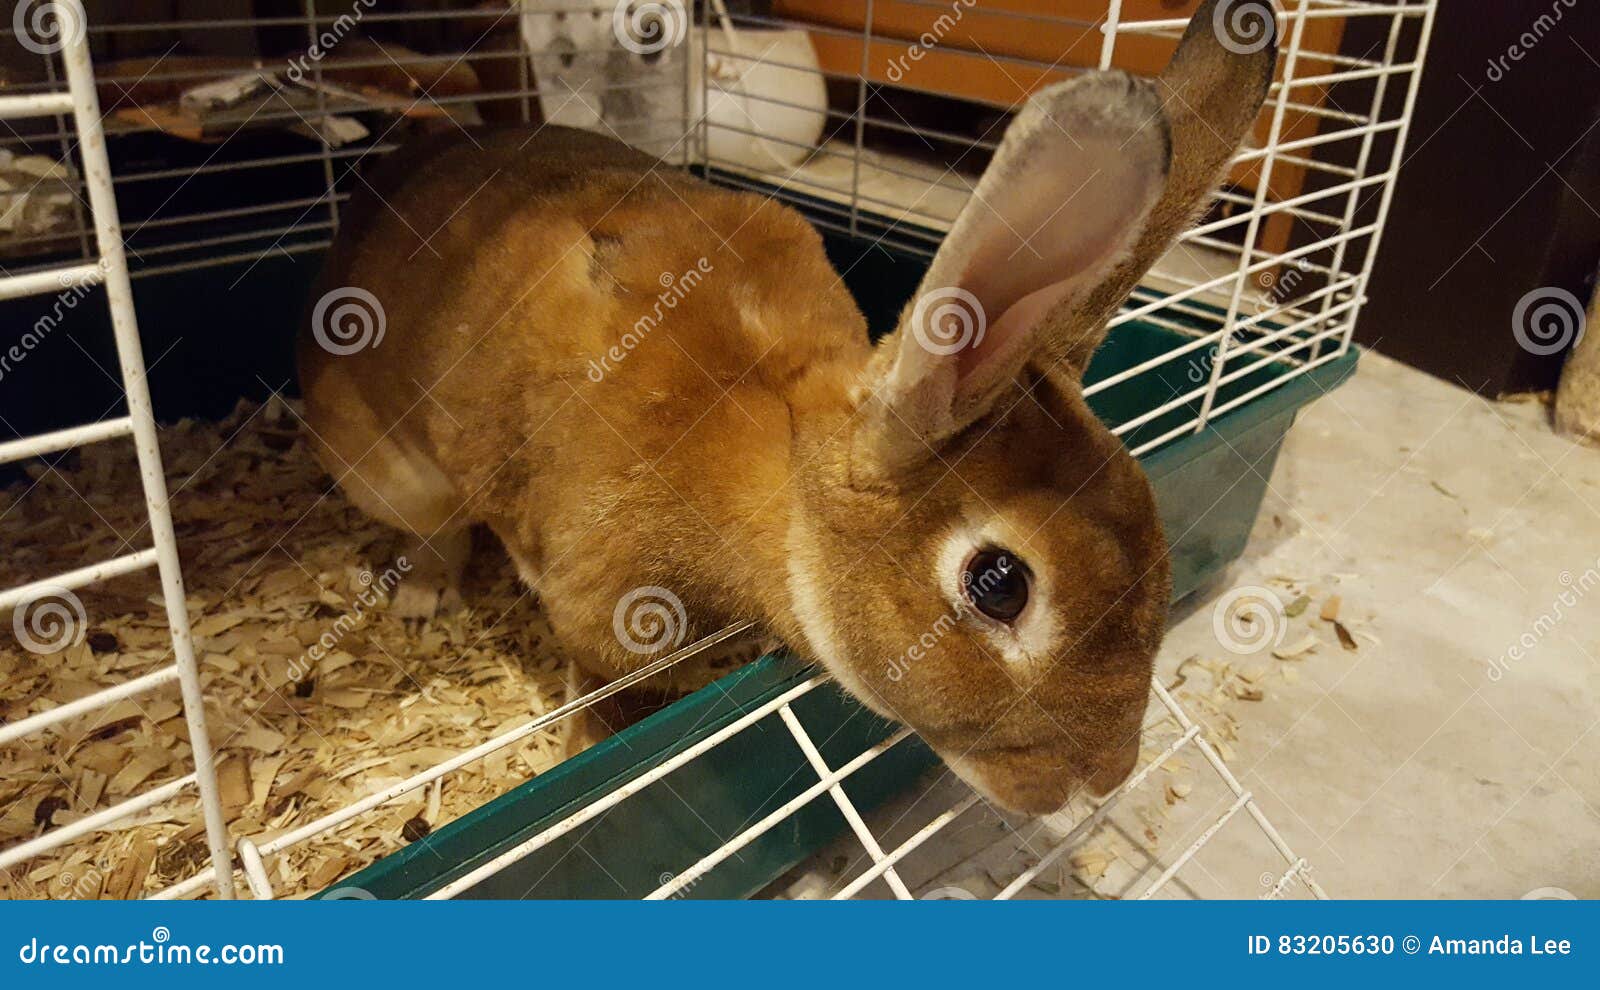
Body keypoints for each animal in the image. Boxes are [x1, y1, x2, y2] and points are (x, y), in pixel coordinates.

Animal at [297, 0, 1276, 815]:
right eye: (1000, 585)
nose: (1099, 778)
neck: (780, 456)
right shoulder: (604, 619)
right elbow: (606, 697)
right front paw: (579, 756)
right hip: (386, 467)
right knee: (431, 531)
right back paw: (422, 597)